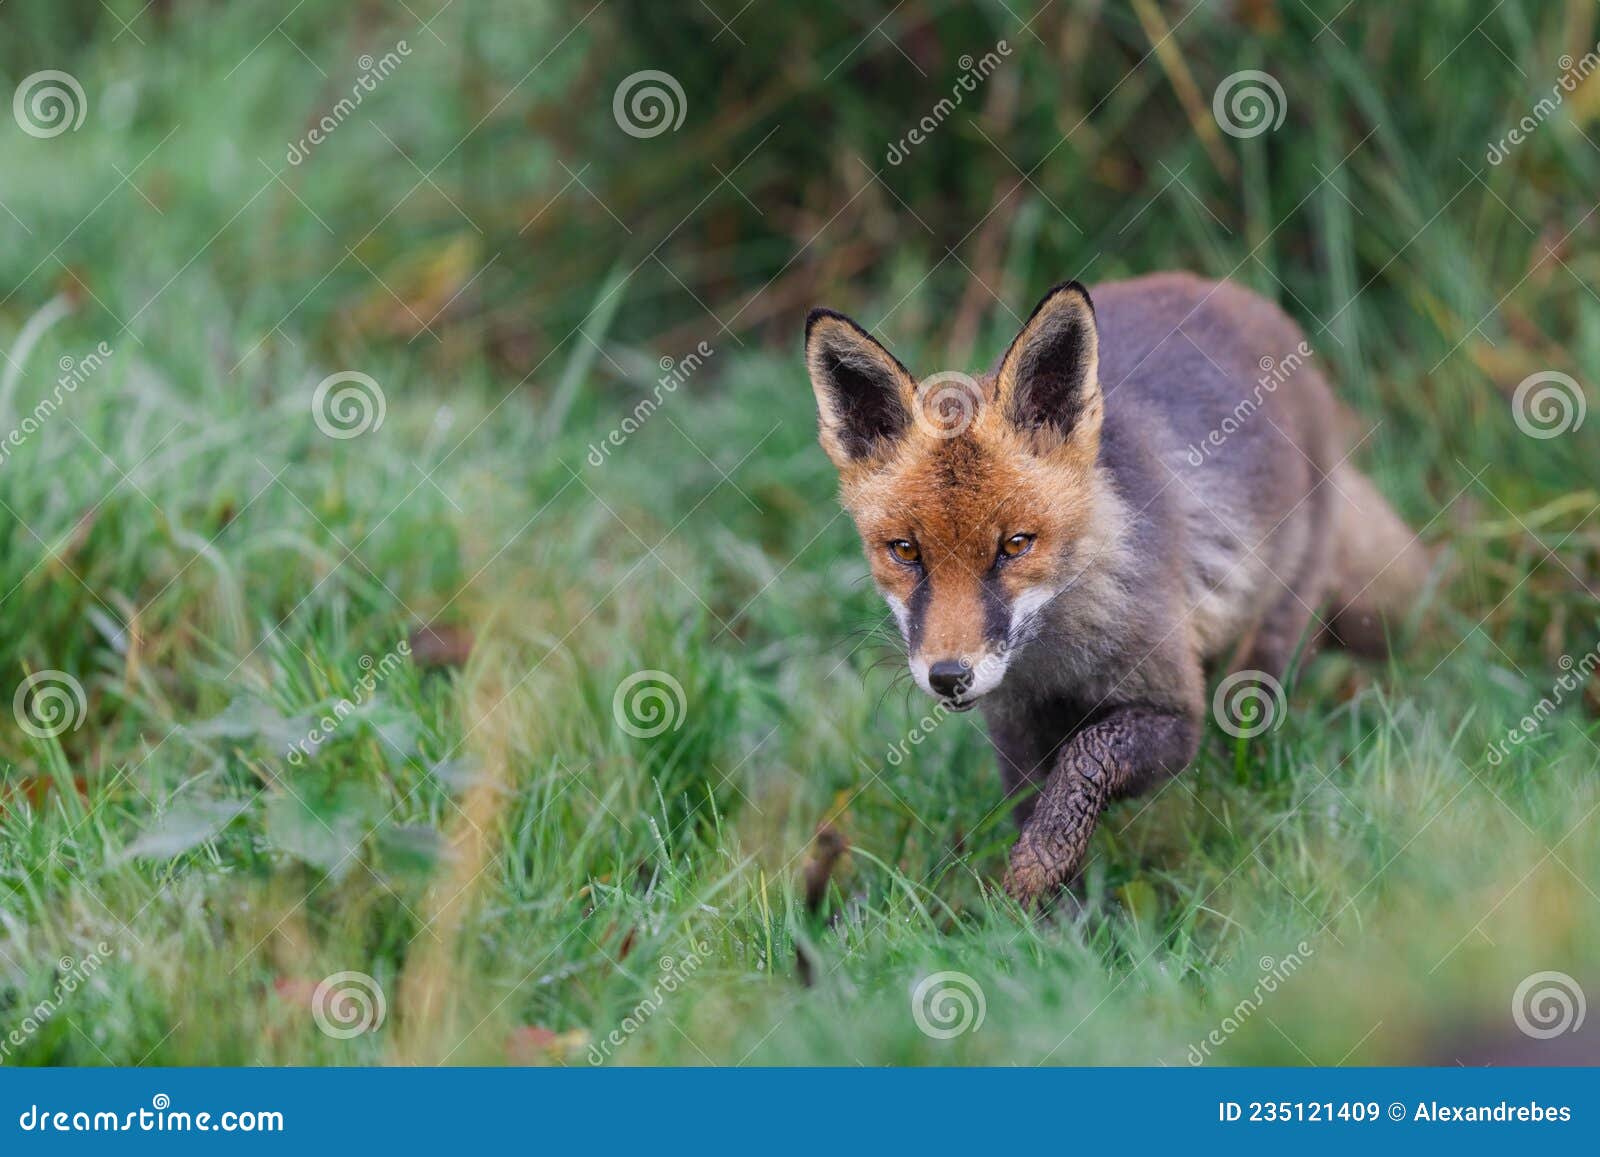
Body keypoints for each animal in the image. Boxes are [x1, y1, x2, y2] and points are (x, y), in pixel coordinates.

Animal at [804, 273, 1429, 907]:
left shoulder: (1175, 711)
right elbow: (1039, 801)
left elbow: (1086, 760)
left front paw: (1037, 866)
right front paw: (1055, 920)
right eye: (906, 551)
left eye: (1016, 545)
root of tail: (1238, 296)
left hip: (1267, 644)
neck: (1056, 664)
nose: (949, 676)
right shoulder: (1015, 726)